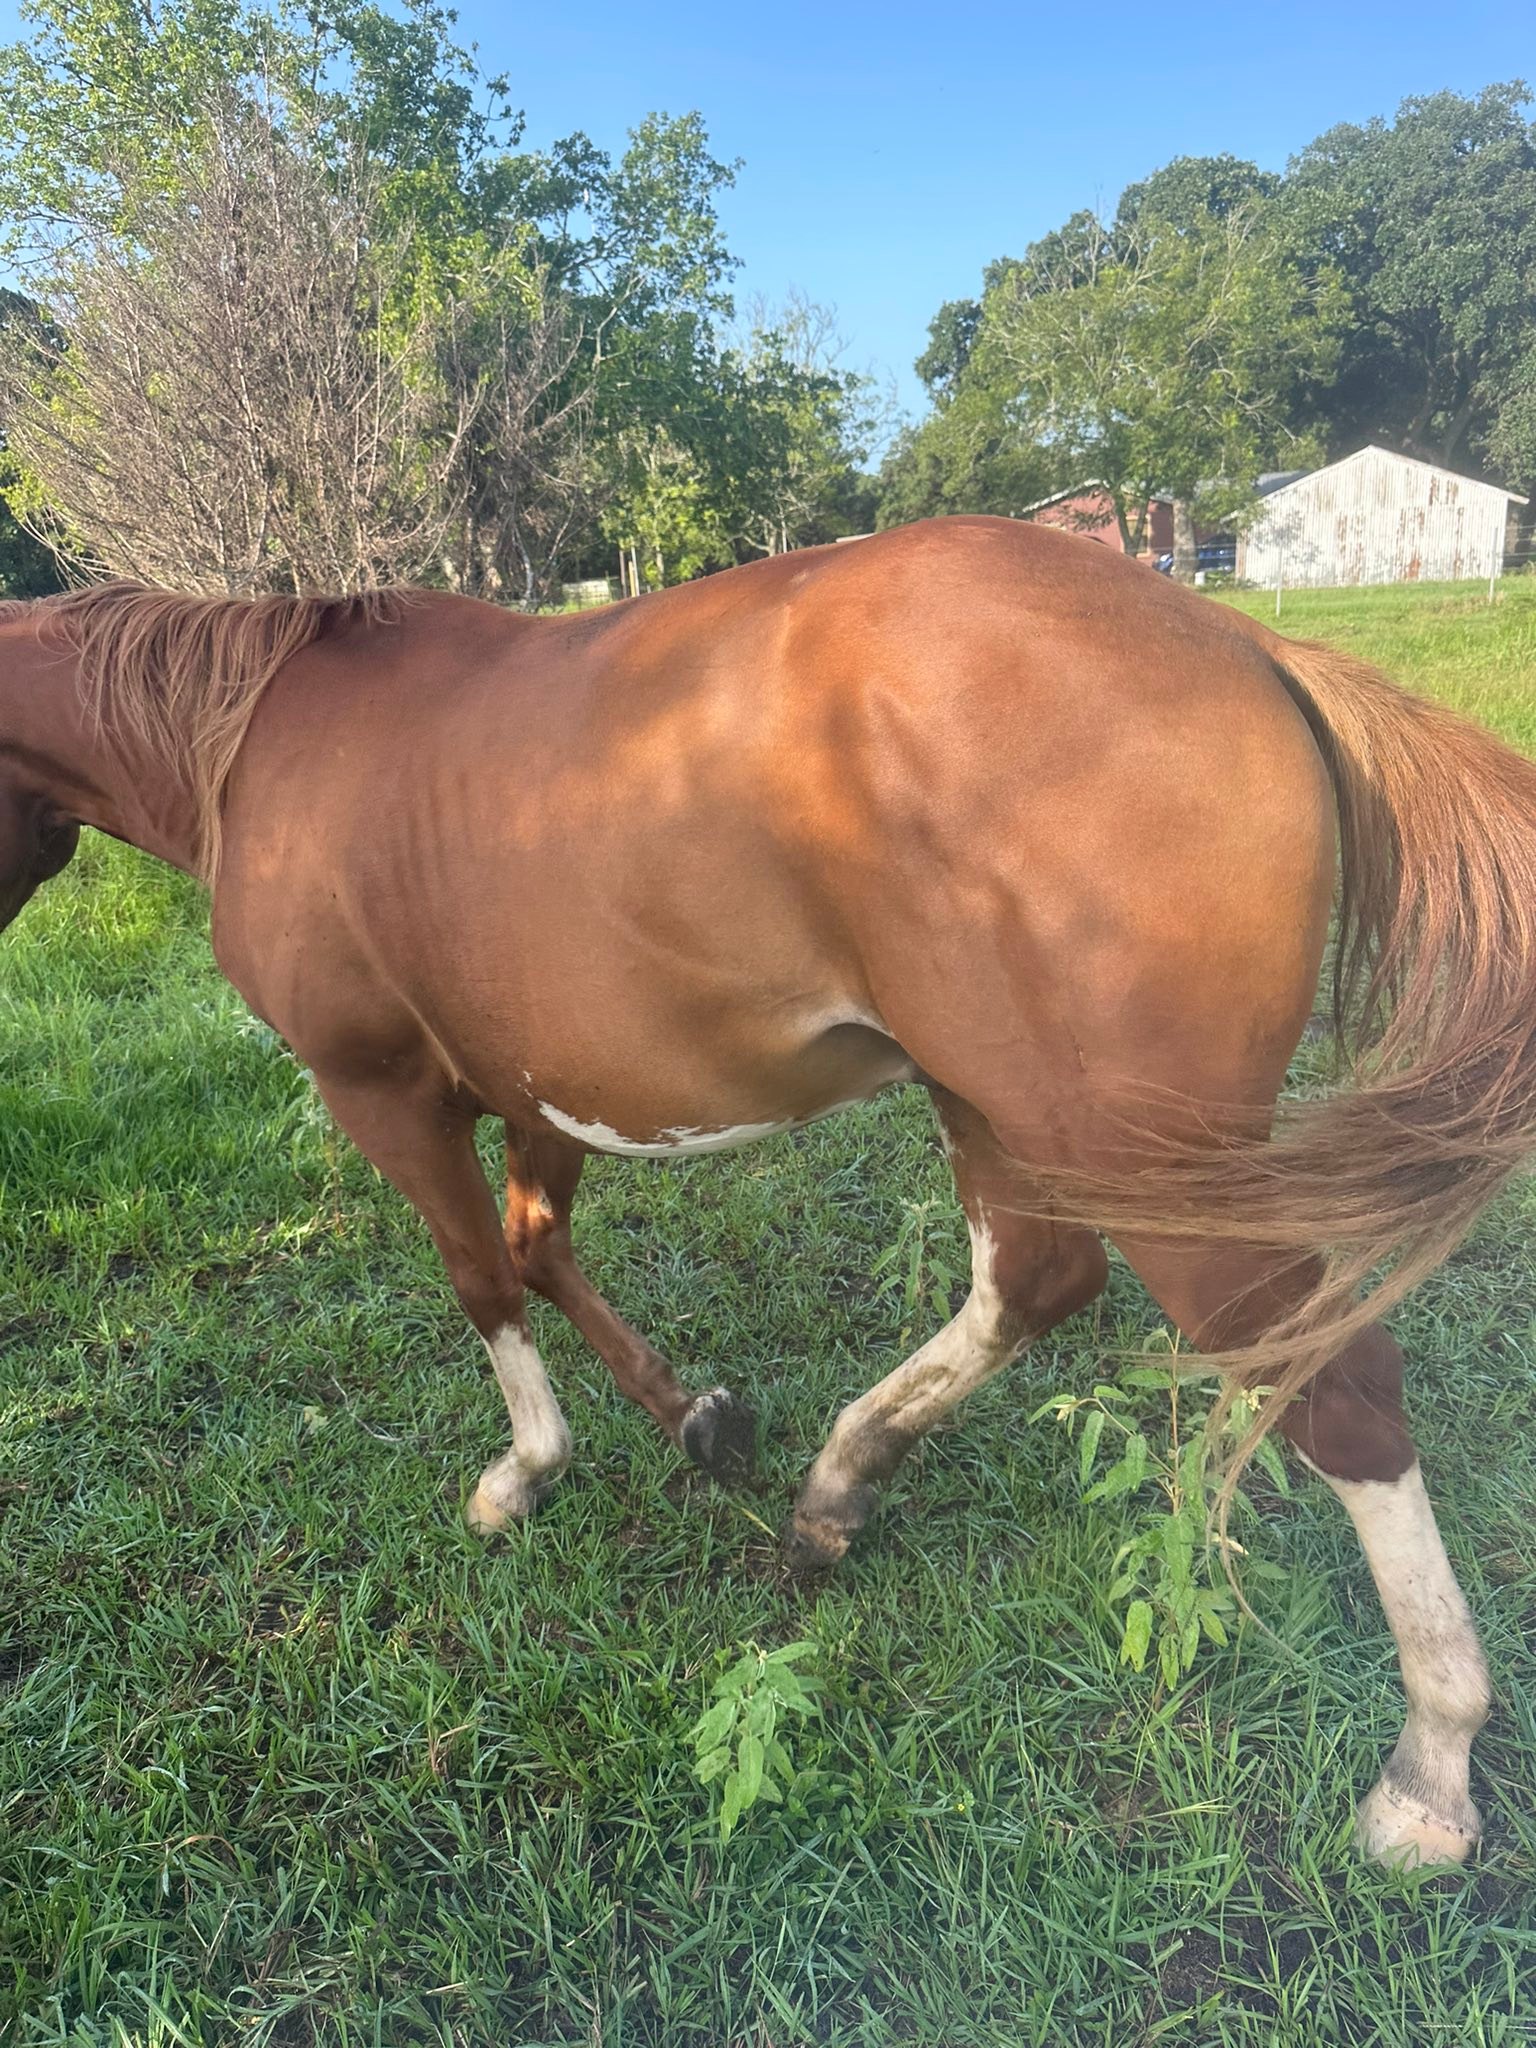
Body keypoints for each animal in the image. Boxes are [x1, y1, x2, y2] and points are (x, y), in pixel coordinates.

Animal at [3, 517, 1532, 1870]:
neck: (262, 739)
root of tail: (1240, 641)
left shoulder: (384, 1092)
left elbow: (485, 1276)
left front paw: (526, 1469)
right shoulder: (545, 1085)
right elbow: (542, 1247)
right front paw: (699, 1419)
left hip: (1148, 1159)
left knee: (1337, 1385)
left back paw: (1432, 1763)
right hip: (995, 1098)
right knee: (1032, 1283)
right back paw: (839, 1483)